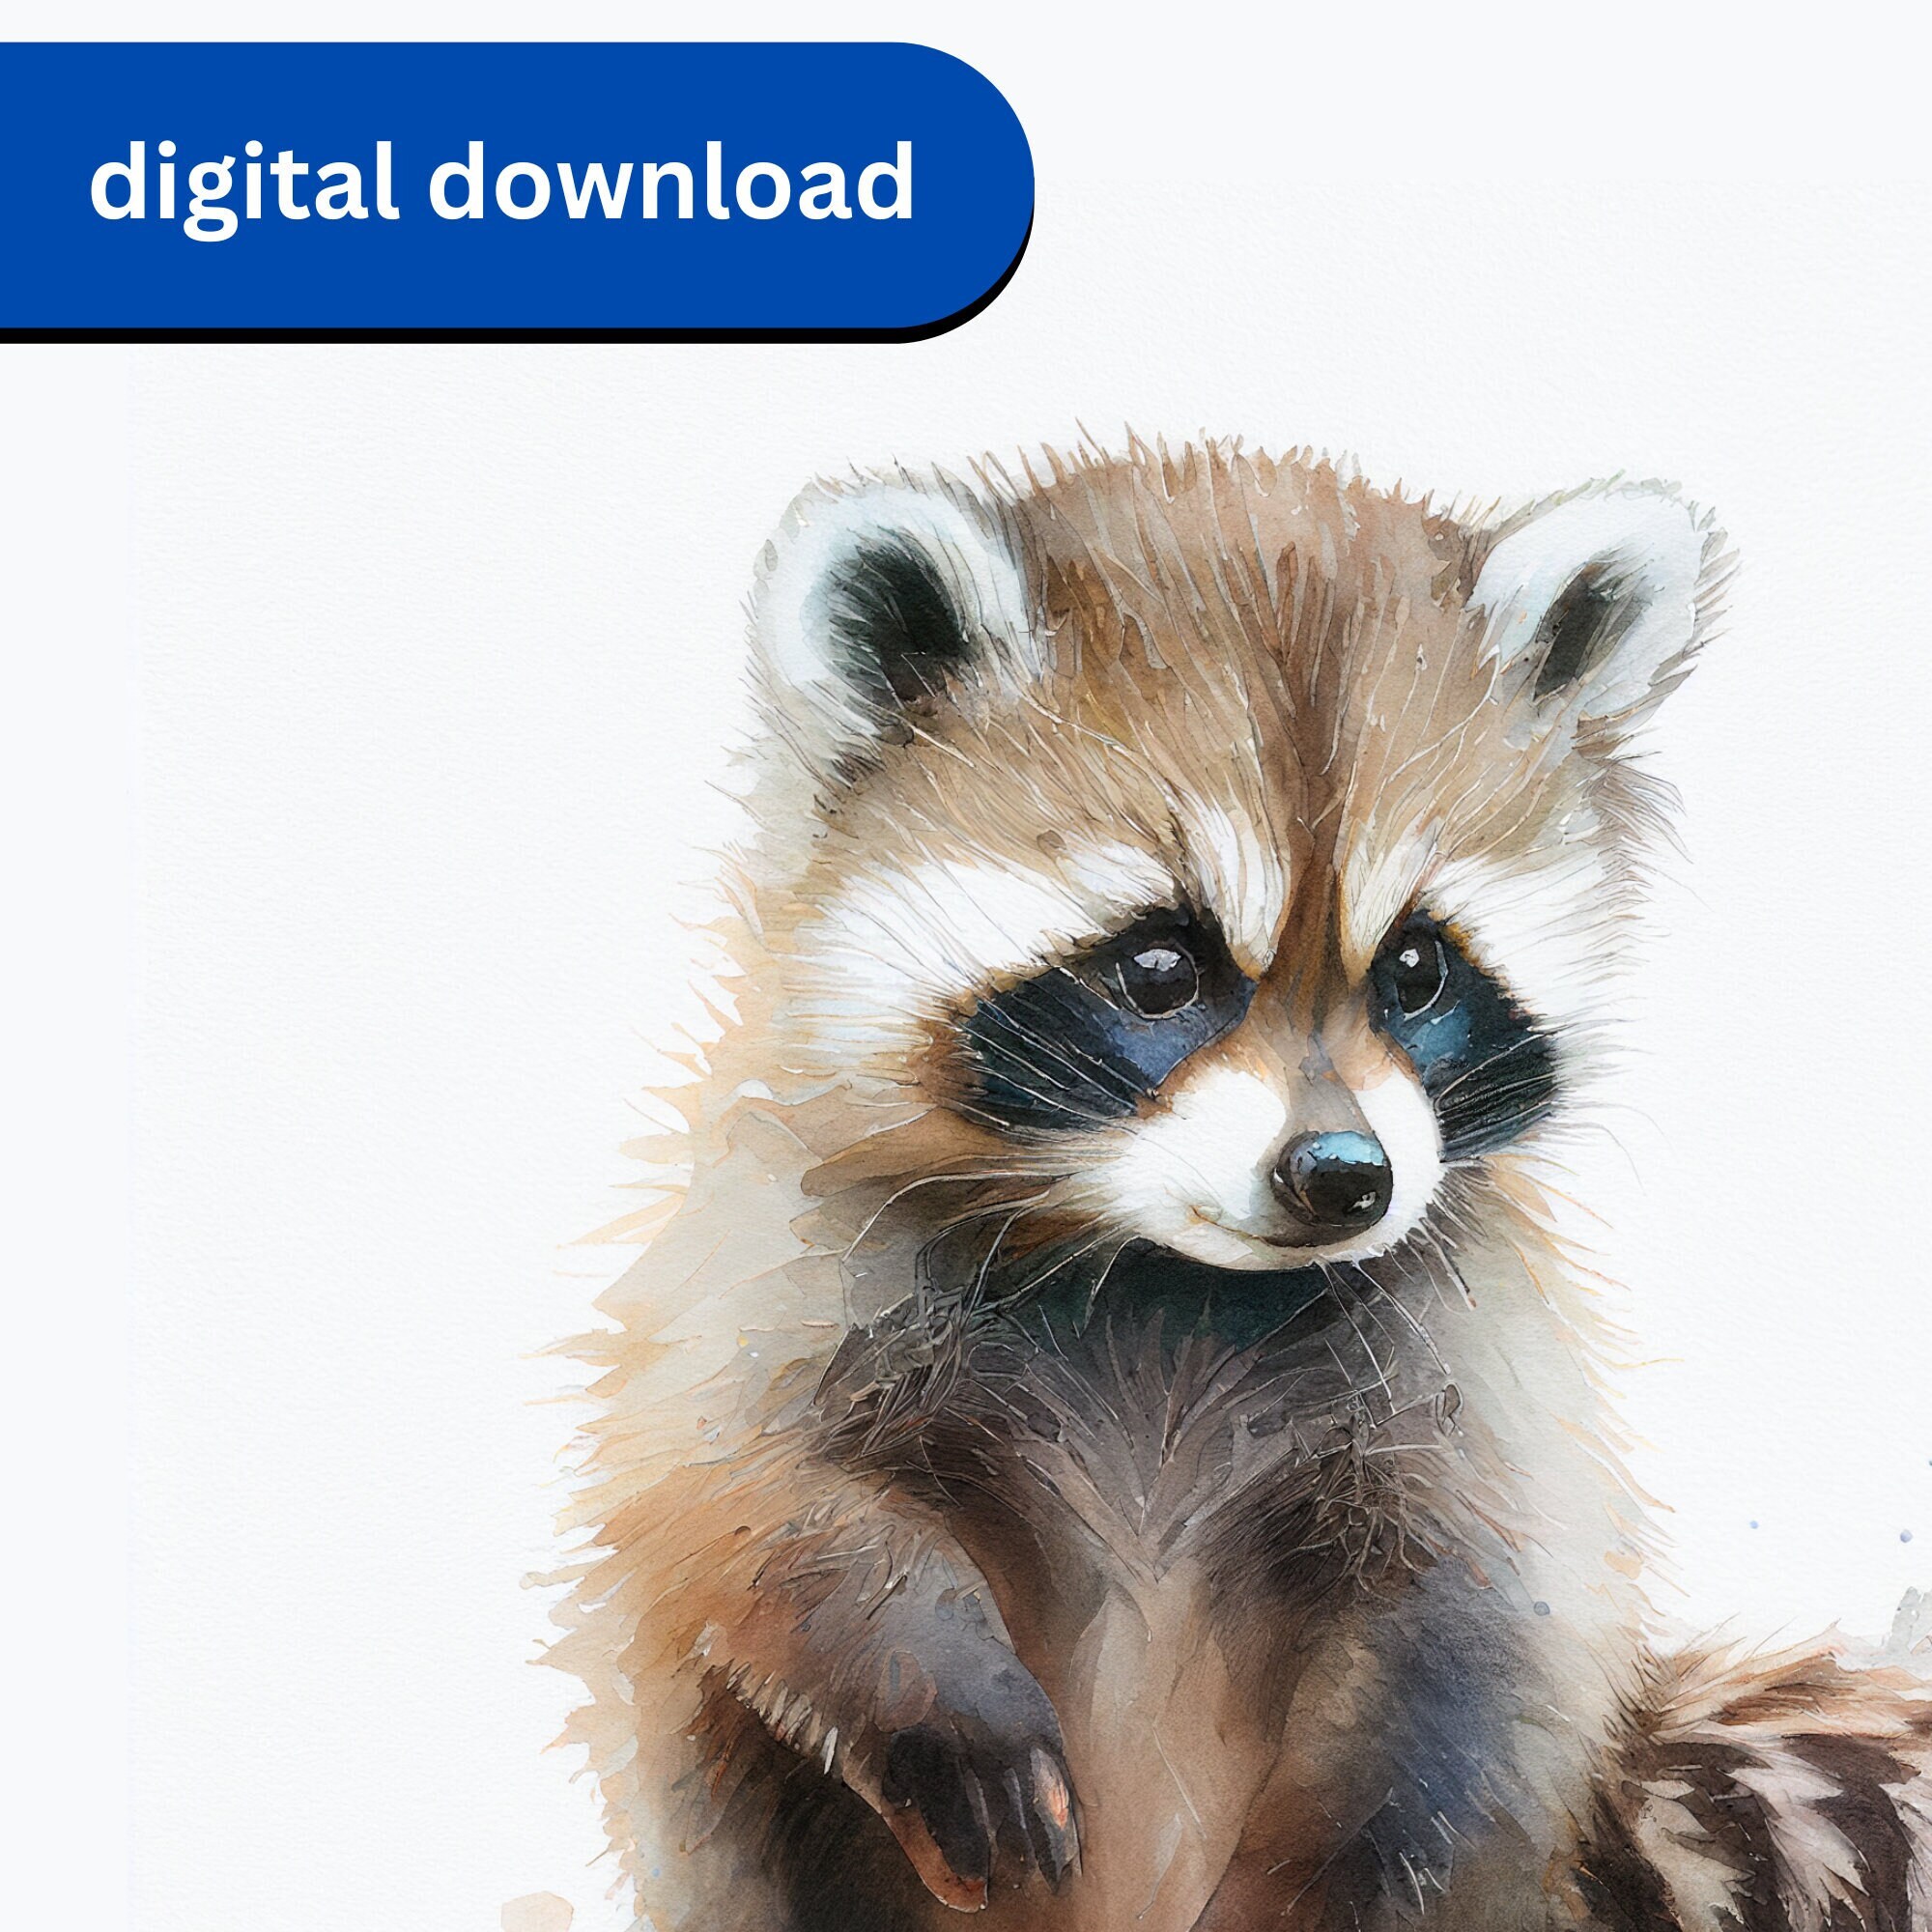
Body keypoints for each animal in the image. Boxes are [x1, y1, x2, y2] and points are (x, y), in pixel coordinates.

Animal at [554, 441, 1932, 1931]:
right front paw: (925, 1668)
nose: (1342, 1177)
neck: (1169, 1272)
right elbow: (720, 1491)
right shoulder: (780, 1243)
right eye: (1161, 964)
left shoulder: (1476, 1351)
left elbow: (1478, 1630)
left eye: (1417, 968)